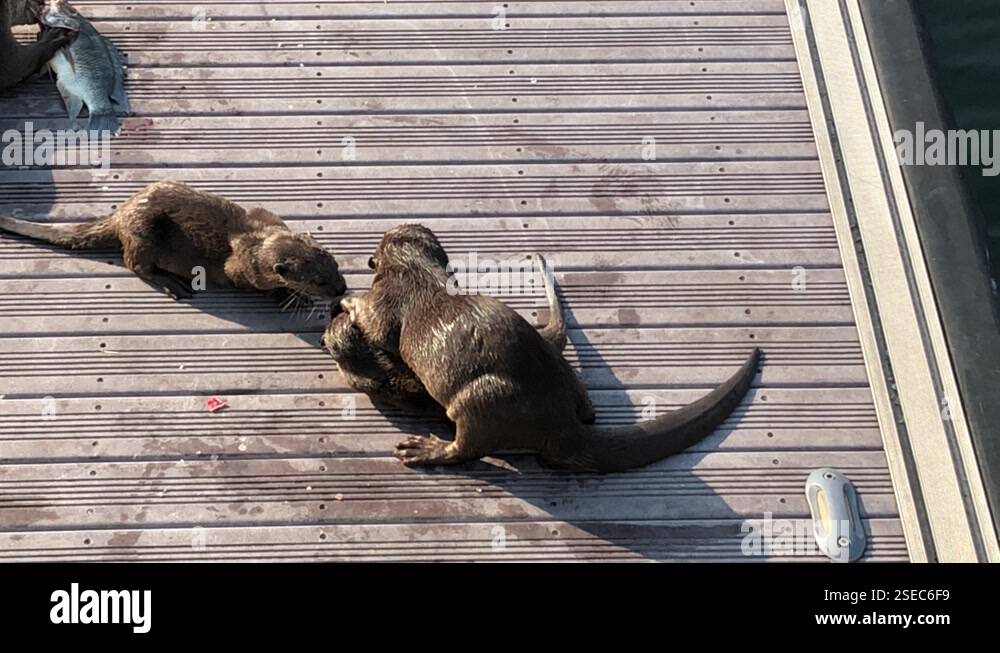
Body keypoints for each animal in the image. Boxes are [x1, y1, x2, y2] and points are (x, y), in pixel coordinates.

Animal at [0, 180, 348, 300]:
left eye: (335, 265)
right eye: (318, 282)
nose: (341, 289)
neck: (258, 242)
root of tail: (121, 215)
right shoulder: (240, 271)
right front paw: (290, 296)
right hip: (143, 234)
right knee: (135, 265)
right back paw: (172, 284)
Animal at [324, 224, 761, 472]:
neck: (417, 271)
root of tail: (561, 428)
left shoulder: (389, 301)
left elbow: (374, 323)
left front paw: (347, 303)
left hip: (479, 399)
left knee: (469, 448)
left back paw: (426, 450)